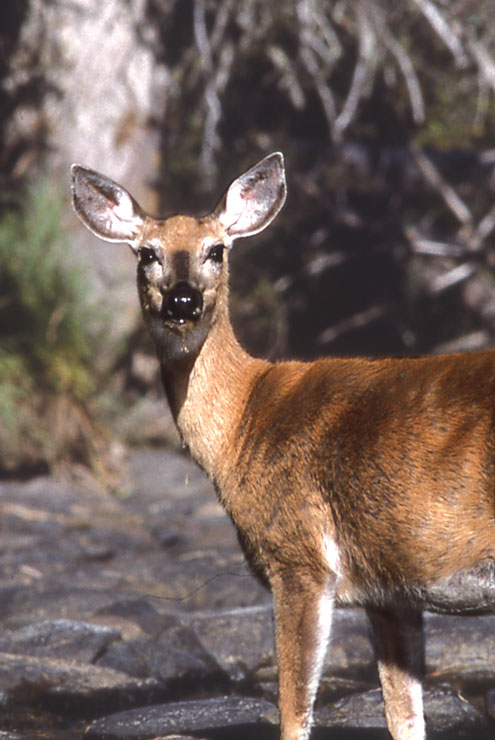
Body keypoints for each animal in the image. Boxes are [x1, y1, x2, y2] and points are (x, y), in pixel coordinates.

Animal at [71, 152, 495, 740]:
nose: (183, 300)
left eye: (216, 250)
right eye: (147, 253)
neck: (245, 423)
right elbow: (404, 717)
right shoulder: (391, 591)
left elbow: (293, 712)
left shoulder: (298, 555)